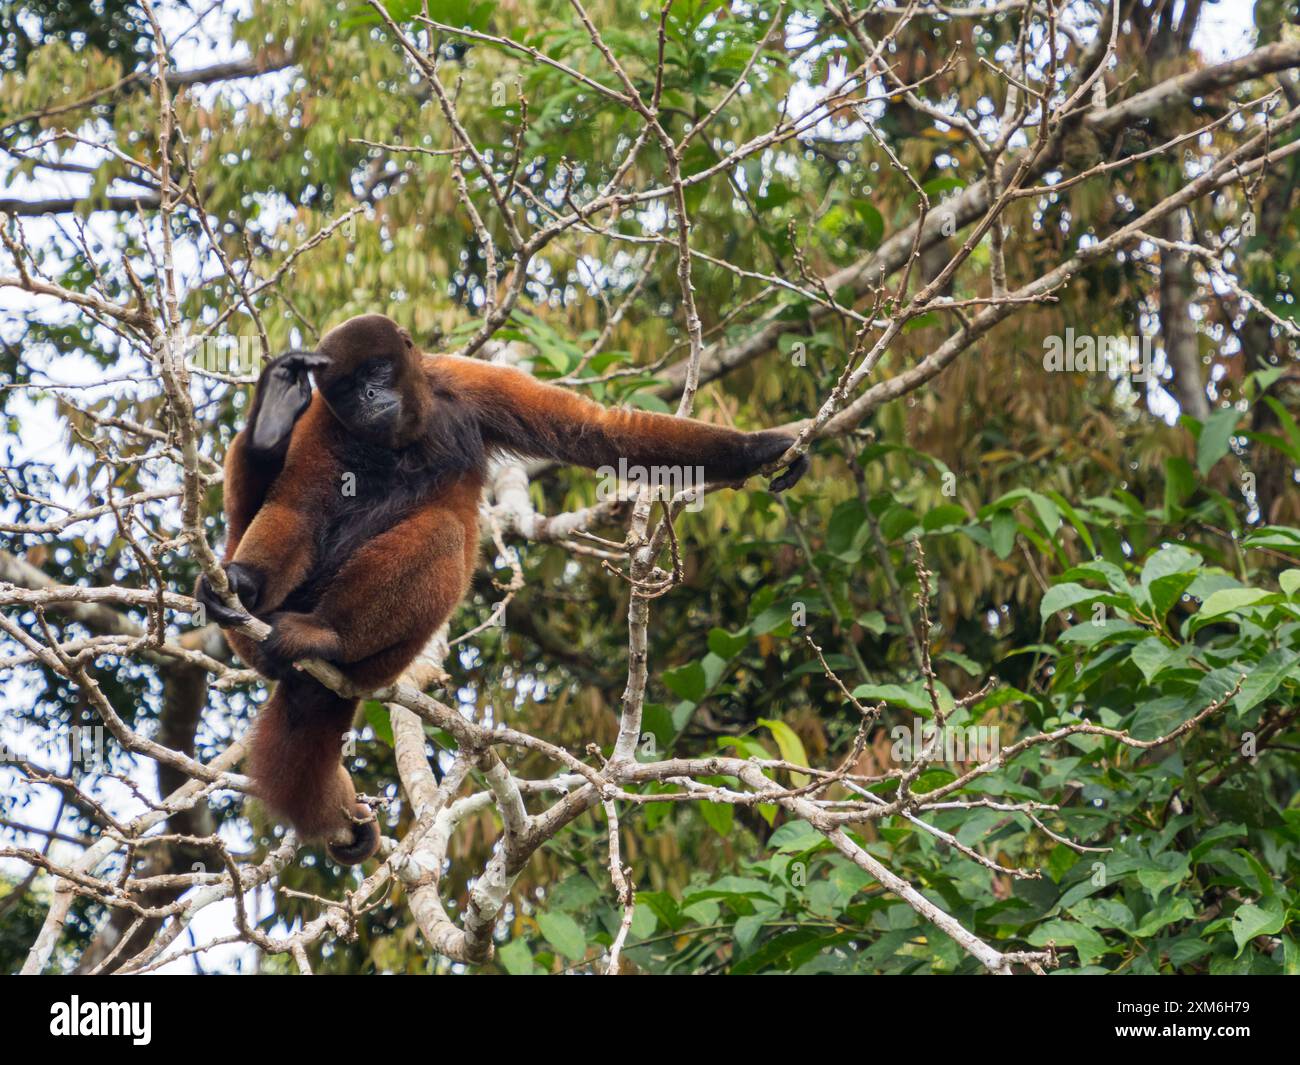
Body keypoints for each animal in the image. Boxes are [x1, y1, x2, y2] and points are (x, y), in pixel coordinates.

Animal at [196, 313, 808, 864]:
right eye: (347, 388)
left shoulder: (472, 385)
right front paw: (247, 577)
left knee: (445, 532)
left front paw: (756, 449)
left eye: (376, 371)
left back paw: (327, 638)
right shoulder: (324, 421)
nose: (368, 395)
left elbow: (603, 432)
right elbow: (297, 508)